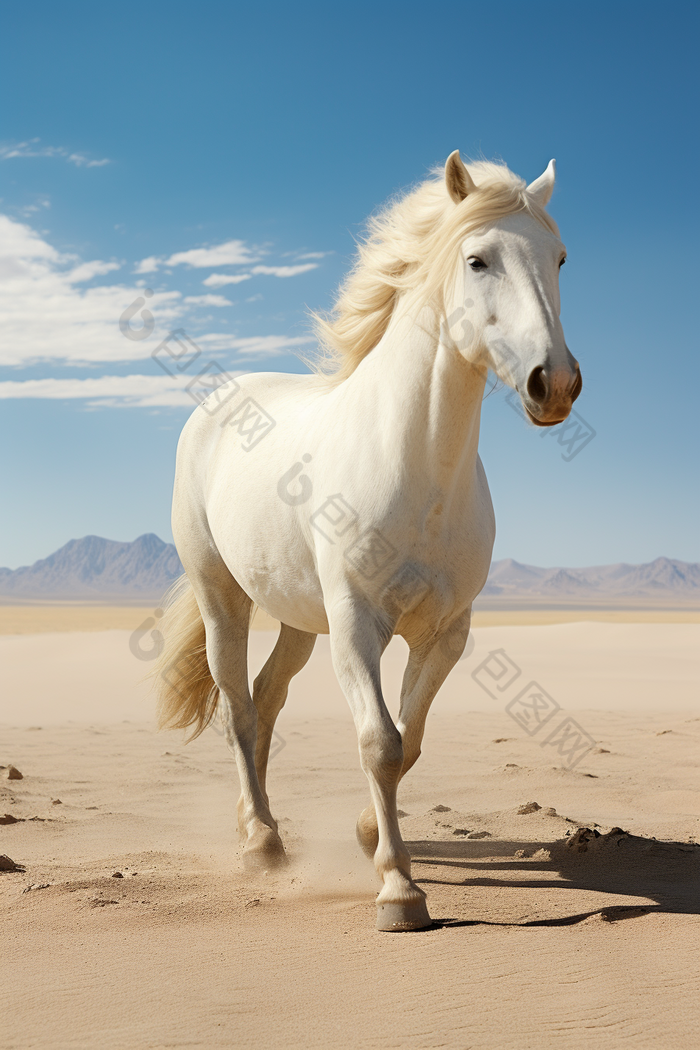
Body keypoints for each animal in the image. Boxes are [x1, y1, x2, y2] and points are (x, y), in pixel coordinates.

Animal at [153, 150, 581, 931]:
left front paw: (366, 836)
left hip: (299, 617)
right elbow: (380, 743)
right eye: (477, 260)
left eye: (559, 257)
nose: (555, 383)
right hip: (223, 597)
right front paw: (399, 891)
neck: (418, 470)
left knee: (266, 699)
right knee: (237, 706)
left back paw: (264, 824)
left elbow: (409, 741)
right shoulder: (357, 622)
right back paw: (259, 841)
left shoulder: (446, 632)